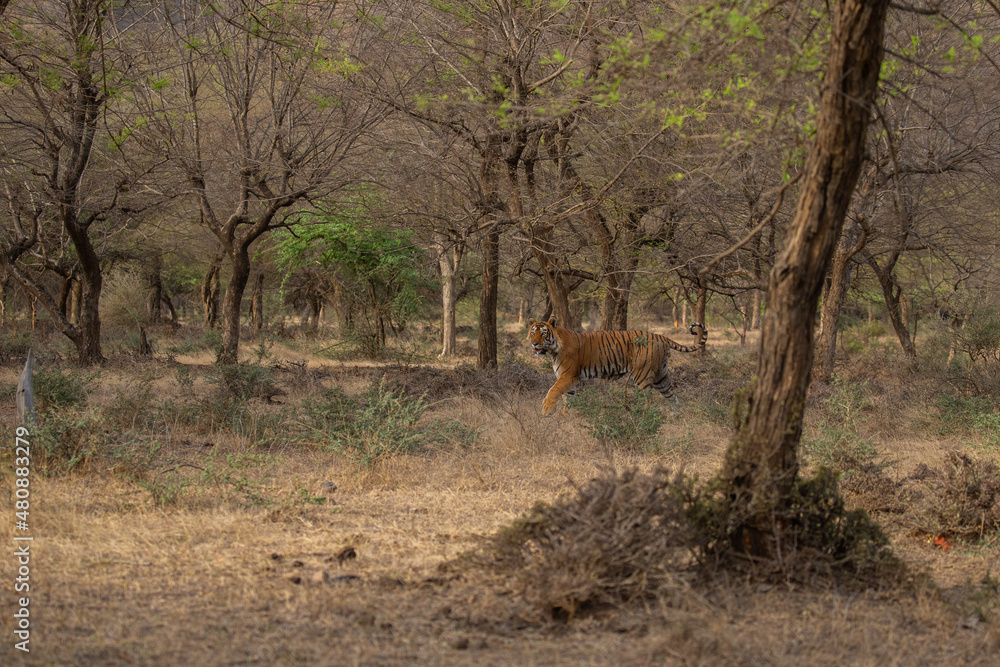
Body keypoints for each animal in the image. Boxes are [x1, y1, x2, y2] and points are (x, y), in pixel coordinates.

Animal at [527, 317, 708, 415]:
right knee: (673, 396)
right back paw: (676, 415)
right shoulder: (570, 380)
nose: (534, 344)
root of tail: (660, 336)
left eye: (543, 333)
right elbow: (568, 400)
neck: (553, 349)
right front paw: (564, 419)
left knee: (647, 400)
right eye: (532, 332)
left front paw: (547, 410)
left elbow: (553, 390)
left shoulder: (568, 375)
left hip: (642, 375)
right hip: (661, 376)